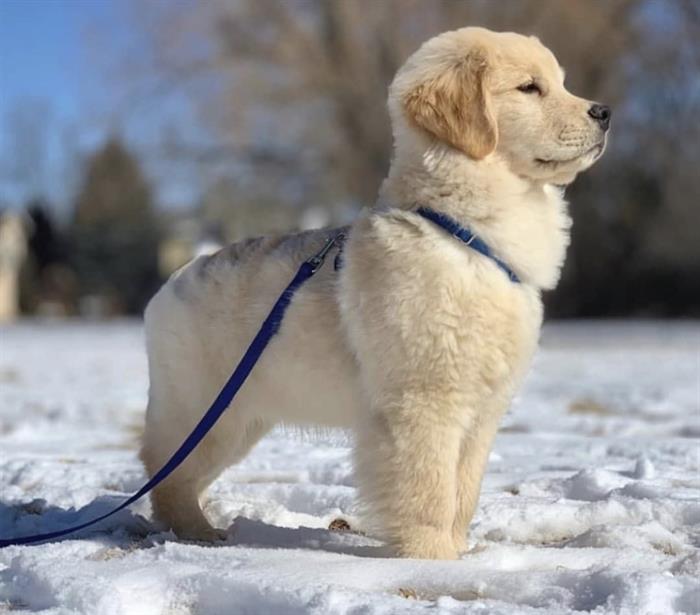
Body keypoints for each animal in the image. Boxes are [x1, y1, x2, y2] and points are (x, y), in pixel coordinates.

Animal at [141, 27, 608, 560]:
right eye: (530, 88)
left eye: (561, 83)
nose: (604, 112)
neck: (466, 235)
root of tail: (175, 277)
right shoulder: (423, 403)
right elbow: (430, 491)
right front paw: (432, 559)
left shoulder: (482, 412)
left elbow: (463, 492)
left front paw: (458, 552)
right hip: (204, 411)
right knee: (166, 473)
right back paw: (197, 532)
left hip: (239, 419)